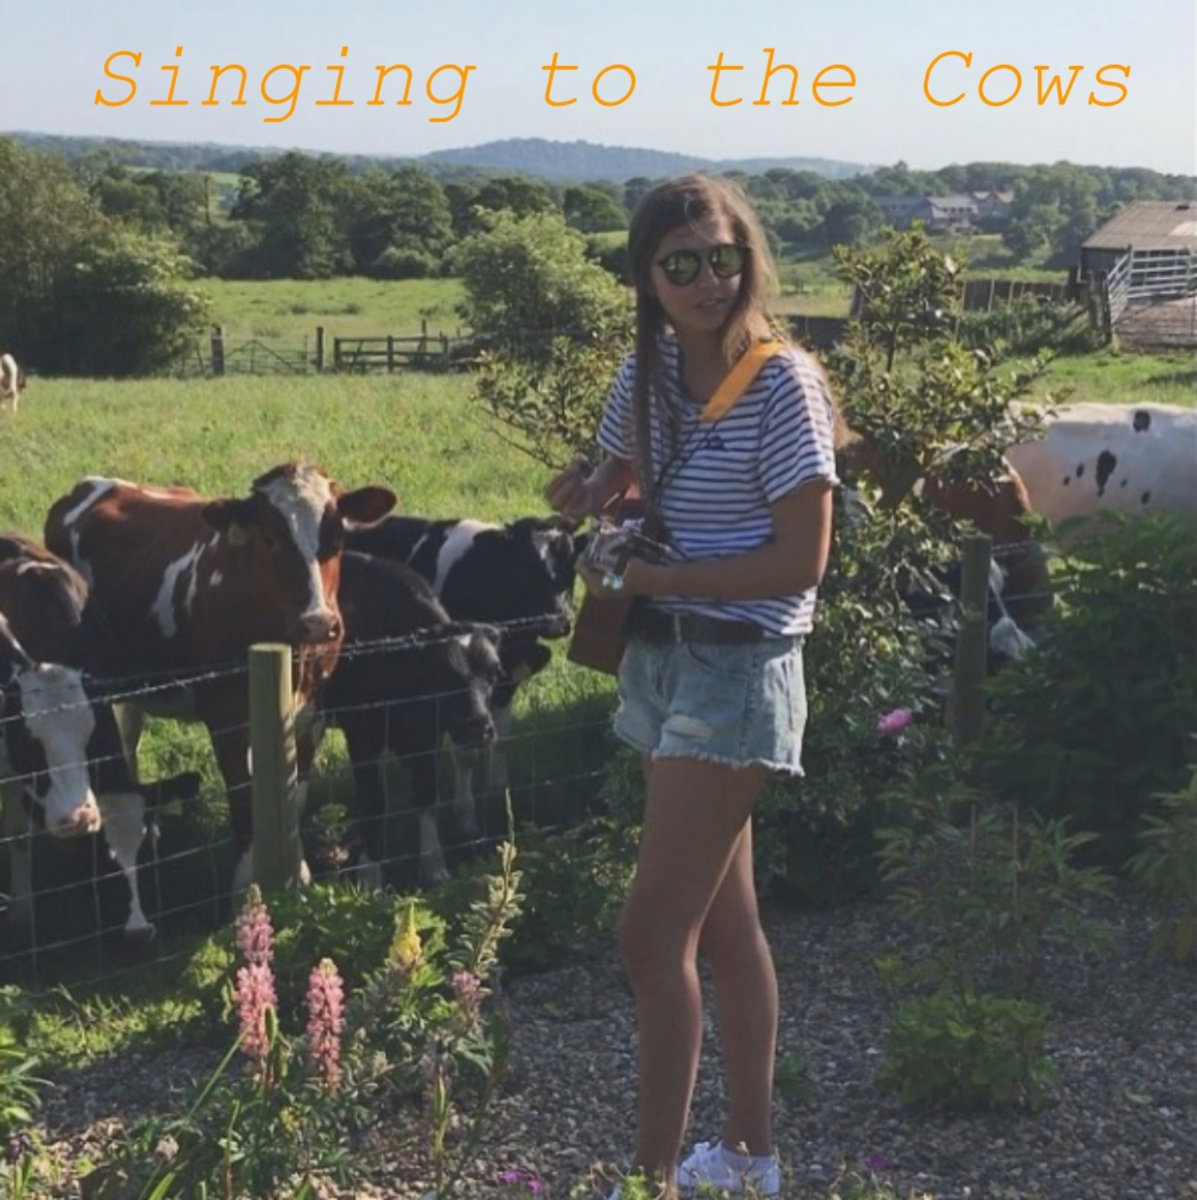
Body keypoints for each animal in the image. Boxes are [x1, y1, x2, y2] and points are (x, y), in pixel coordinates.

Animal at [44, 464, 396, 894]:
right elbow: (243, 795)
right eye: (270, 538)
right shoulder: (227, 718)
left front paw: (296, 872)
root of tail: (92, 485)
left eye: (337, 536)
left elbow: (294, 793)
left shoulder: (311, 714)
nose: (318, 622)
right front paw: (249, 883)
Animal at [310, 550, 503, 885]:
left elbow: (426, 794)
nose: (481, 728)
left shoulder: (426, 736)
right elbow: (373, 801)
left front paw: (435, 865)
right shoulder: (362, 737)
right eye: (446, 679)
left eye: (492, 676)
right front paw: (371, 874)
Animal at [345, 514, 581, 833]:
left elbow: (501, 739)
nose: (558, 623)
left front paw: (499, 793)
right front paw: (466, 817)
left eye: (571, 568)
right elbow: (466, 755)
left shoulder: (504, 681)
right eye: (528, 567)